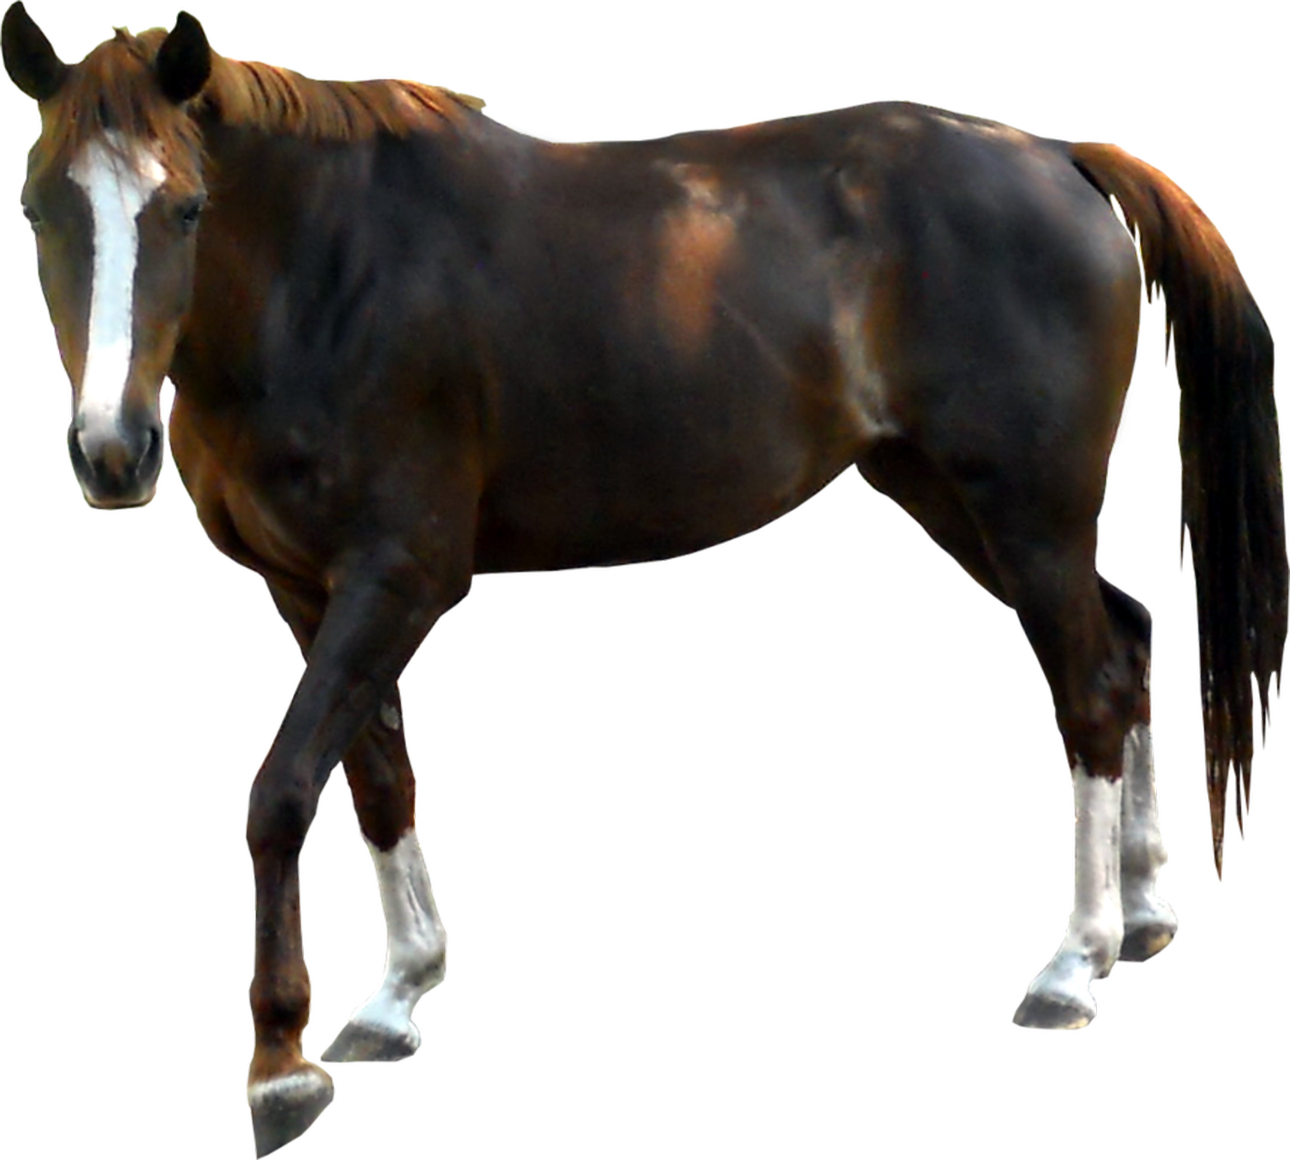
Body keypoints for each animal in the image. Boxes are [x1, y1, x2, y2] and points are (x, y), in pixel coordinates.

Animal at [4, 2, 1285, 1152]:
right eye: (40, 207)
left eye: (183, 205)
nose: (111, 452)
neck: (331, 272)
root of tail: (1063, 157)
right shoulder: (306, 589)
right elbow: (376, 779)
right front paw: (396, 994)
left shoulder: (396, 578)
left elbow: (279, 791)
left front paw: (279, 1066)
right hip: (952, 498)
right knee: (1128, 635)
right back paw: (1143, 905)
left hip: (1027, 514)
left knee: (1090, 693)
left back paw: (1074, 963)